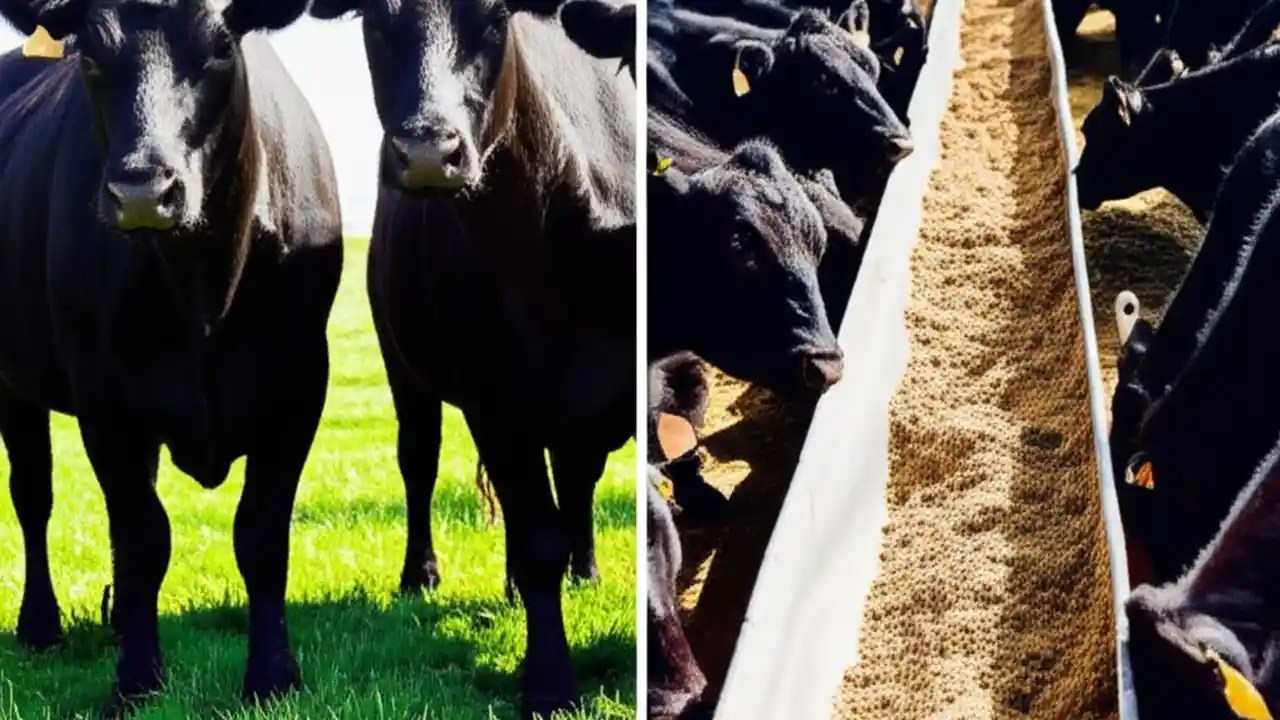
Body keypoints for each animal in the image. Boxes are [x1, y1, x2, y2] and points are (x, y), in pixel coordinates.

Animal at [0, 0, 339, 711]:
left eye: (220, 47)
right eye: (90, 54)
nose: (140, 190)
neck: (202, 286)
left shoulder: (299, 388)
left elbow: (261, 533)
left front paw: (272, 676)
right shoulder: (104, 403)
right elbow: (143, 533)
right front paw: (136, 678)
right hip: (13, 383)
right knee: (33, 494)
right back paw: (41, 625)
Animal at [305, 0, 634, 714]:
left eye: (493, 18)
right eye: (377, 22)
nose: (429, 153)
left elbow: (572, 494)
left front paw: (581, 576)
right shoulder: (496, 400)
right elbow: (535, 534)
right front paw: (549, 682)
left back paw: (581, 571)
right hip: (405, 369)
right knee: (420, 462)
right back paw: (421, 574)